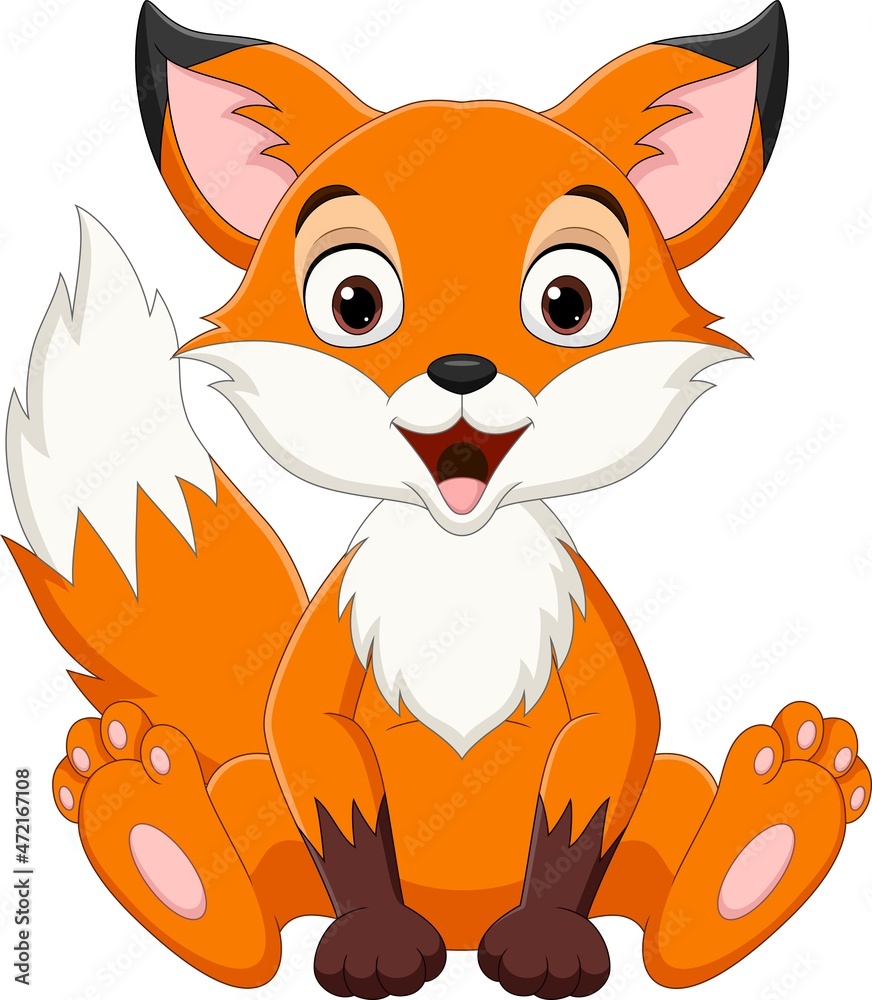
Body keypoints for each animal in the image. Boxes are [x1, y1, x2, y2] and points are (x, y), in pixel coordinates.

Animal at [5, 2, 869, 997]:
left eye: (567, 303)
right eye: (354, 302)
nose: (461, 369)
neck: (460, 557)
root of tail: (460, 925)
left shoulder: (593, 666)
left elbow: (599, 762)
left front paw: (546, 941)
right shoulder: (327, 677)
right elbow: (320, 761)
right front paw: (373, 942)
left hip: (667, 801)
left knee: (673, 905)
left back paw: (780, 817)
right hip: (259, 804)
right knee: (251, 913)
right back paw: (144, 815)